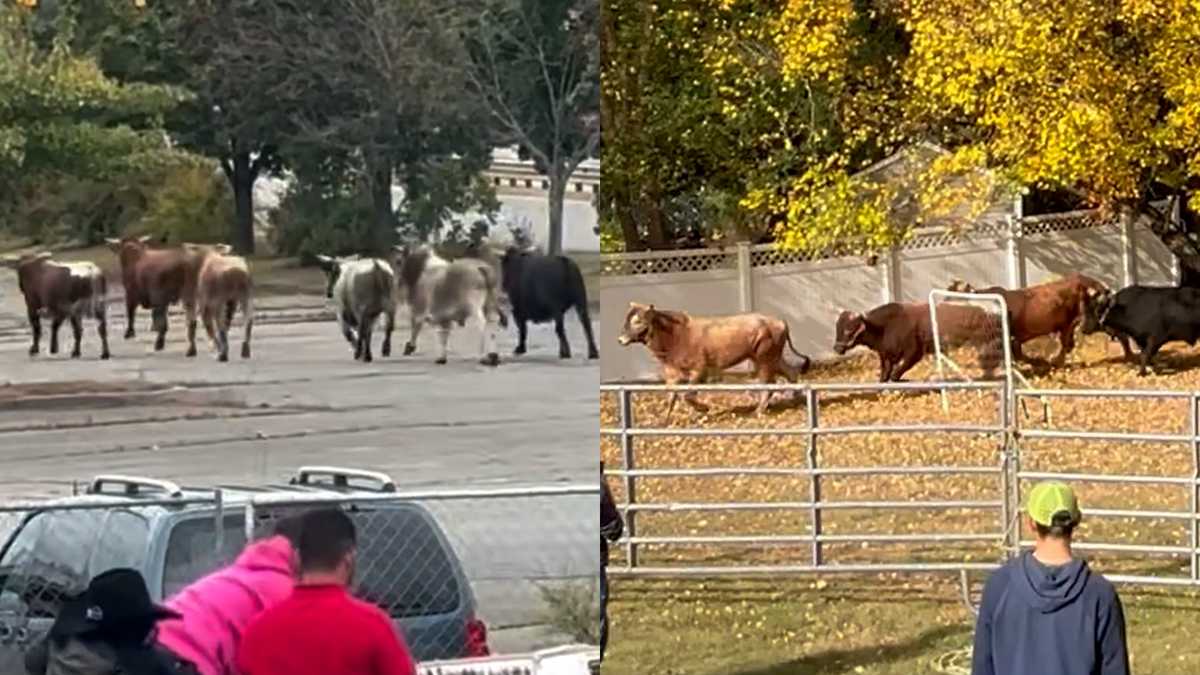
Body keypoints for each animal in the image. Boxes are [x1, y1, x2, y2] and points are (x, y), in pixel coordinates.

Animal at [617, 303, 812, 419]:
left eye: (637, 321)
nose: (620, 339)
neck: (675, 335)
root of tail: (780, 322)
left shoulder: (699, 369)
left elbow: (688, 395)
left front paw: (704, 409)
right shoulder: (672, 373)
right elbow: (672, 395)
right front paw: (664, 420)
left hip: (764, 360)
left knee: (769, 384)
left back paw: (758, 410)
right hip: (771, 358)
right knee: (791, 372)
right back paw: (796, 399)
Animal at [833, 302, 1002, 382]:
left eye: (848, 329)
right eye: (837, 328)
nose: (837, 348)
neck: (885, 326)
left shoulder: (914, 353)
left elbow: (896, 374)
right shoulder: (886, 356)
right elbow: (885, 376)